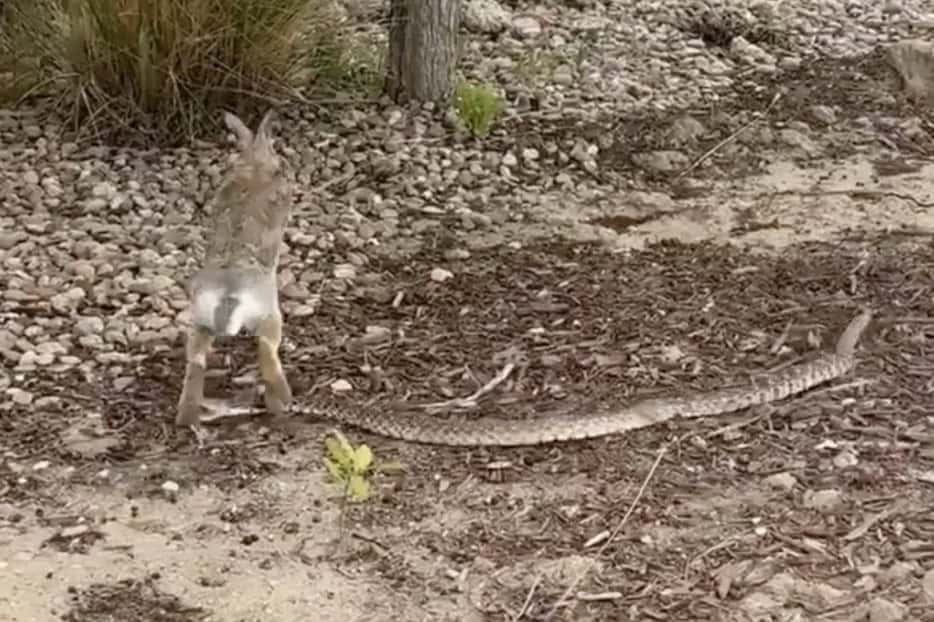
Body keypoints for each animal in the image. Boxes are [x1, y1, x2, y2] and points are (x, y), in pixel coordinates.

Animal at [176, 109, 294, 429]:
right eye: (281, 164)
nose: (286, 169)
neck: (255, 163)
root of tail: (229, 294)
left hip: (200, 320)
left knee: (196, 361)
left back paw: (186, 418)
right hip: (268, 314)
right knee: (267, 350)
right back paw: (283, 401)